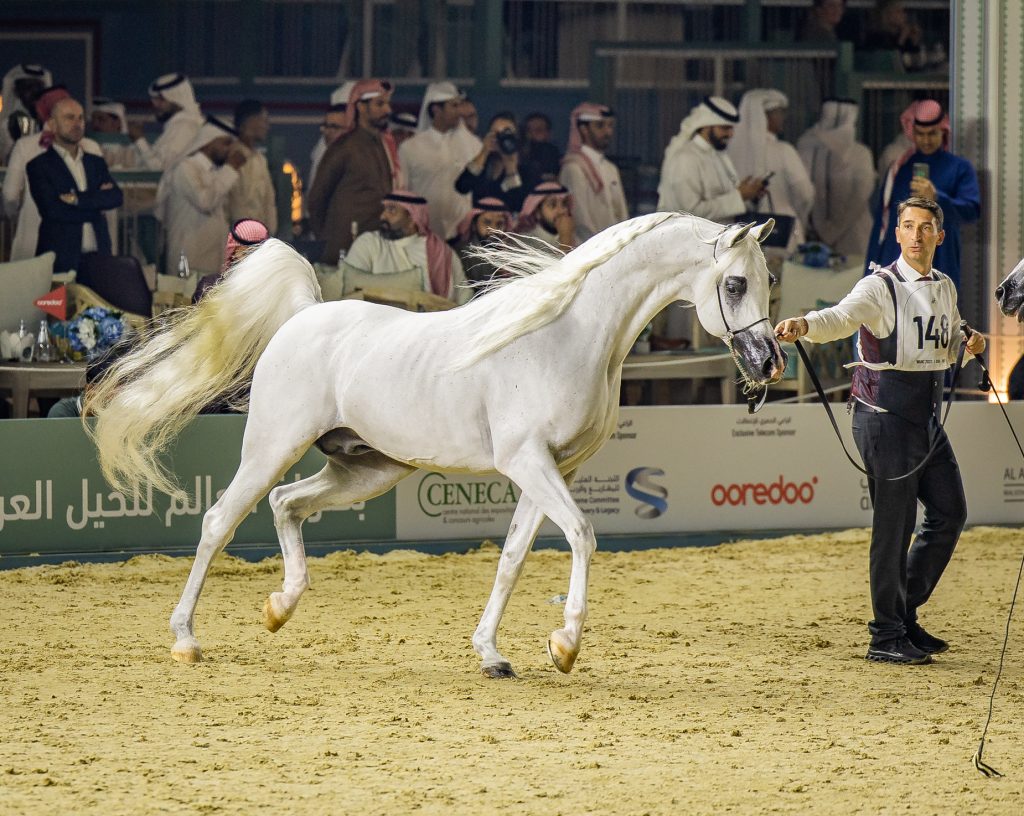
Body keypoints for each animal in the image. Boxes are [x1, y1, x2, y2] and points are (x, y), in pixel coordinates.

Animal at [84, 212, 786, 678]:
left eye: (768, 279)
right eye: (734, 284)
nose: (769, 361)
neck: (568, 334)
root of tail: (303, 315)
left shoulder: (549, 470)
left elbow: (512, 557)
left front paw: (492, 654)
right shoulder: (527, 461)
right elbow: (583, 536)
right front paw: (564, 645)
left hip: (365, 469)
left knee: (287, 504)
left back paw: (280, 608)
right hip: (270, 447)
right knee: (219, 521)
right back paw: (186, 640)